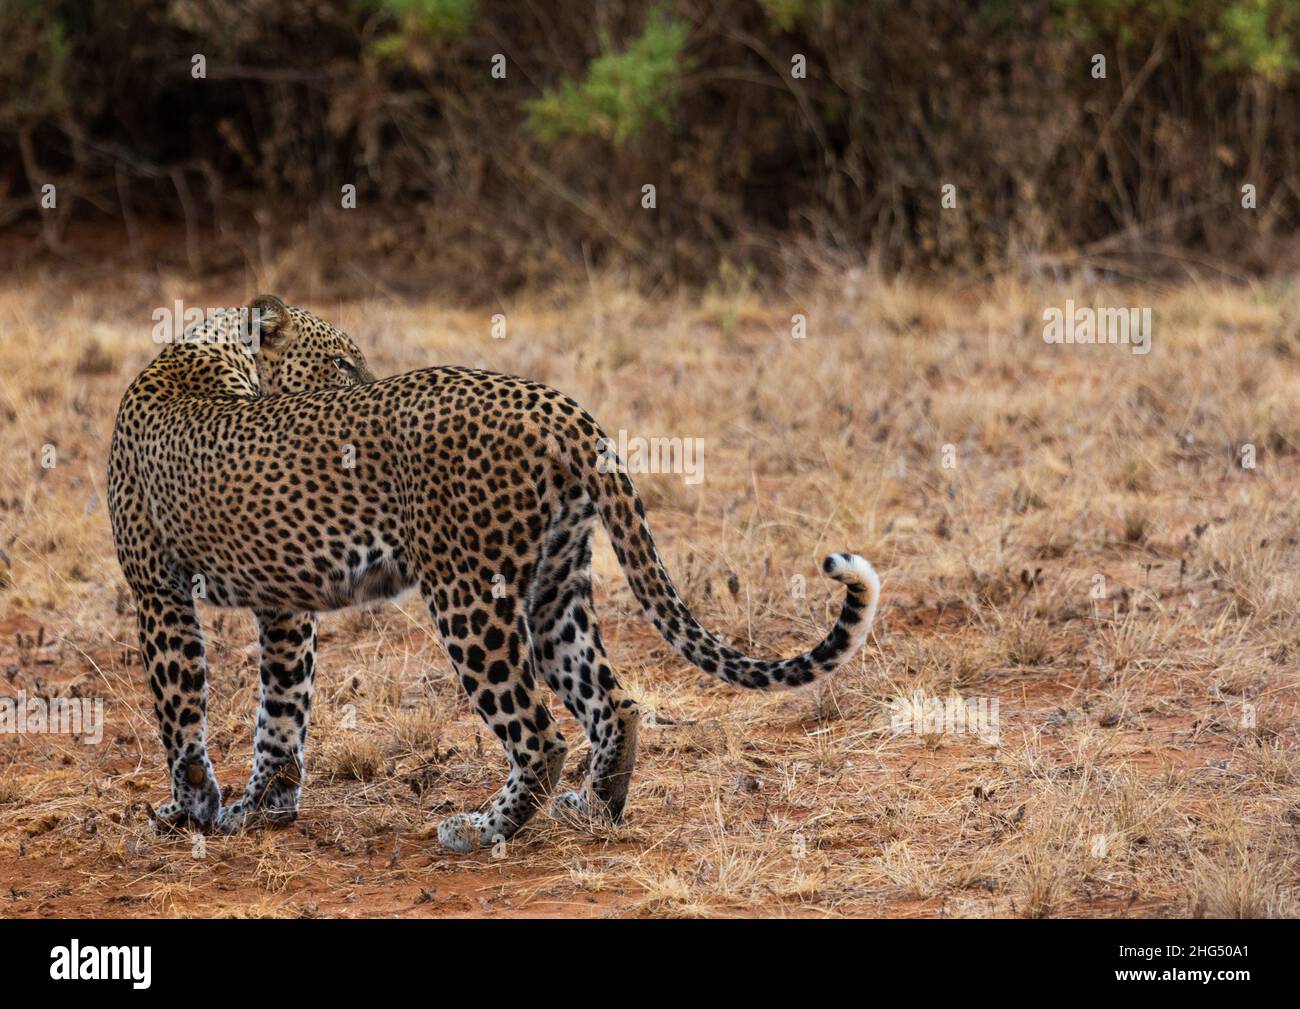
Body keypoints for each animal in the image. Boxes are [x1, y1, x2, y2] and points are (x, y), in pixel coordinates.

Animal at [107, 295, 881, 852]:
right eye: (343, 363)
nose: (367, 380)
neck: (209, 353)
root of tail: (558, 403)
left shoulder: (159, 595)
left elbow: (181, 717)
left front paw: (190, 809)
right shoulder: (283, 608)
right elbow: (281, 713)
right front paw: (263, 806)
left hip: (467, 594)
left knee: (541, 734)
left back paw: (482, 830)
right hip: (554, 586)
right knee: (614, 701)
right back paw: (593, 809)